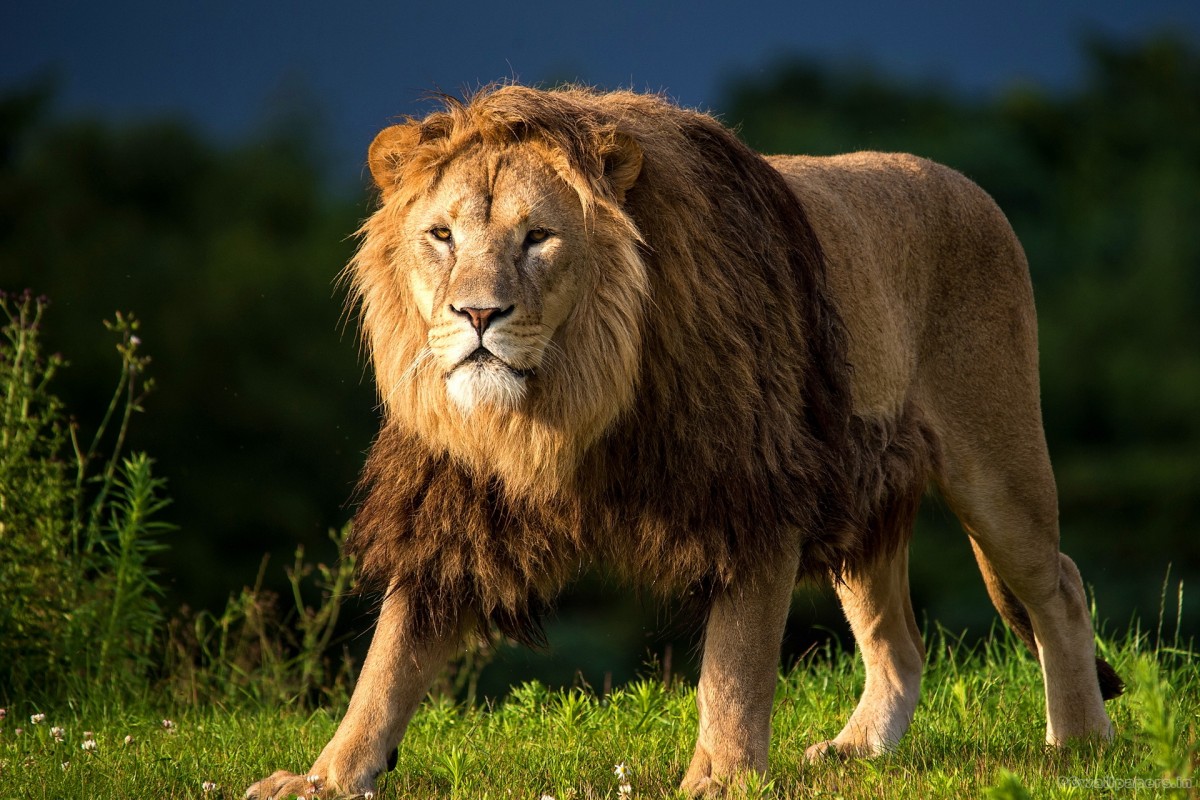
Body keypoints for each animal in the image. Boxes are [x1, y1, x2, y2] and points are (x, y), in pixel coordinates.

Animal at [246, 85, 1121, 799]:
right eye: (440, 235)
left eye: (538, 238)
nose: (478, 314)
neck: (564, 400)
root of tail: (967, 185)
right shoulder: (455, 503)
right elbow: (389, 661)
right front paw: (326, 776)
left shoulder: (752, 485)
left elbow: (734, 665)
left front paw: (723, 779)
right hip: (860, 480)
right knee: (898, 641)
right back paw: (858, 749)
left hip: (995, 464)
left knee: (1060, 585)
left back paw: (1078, 745)